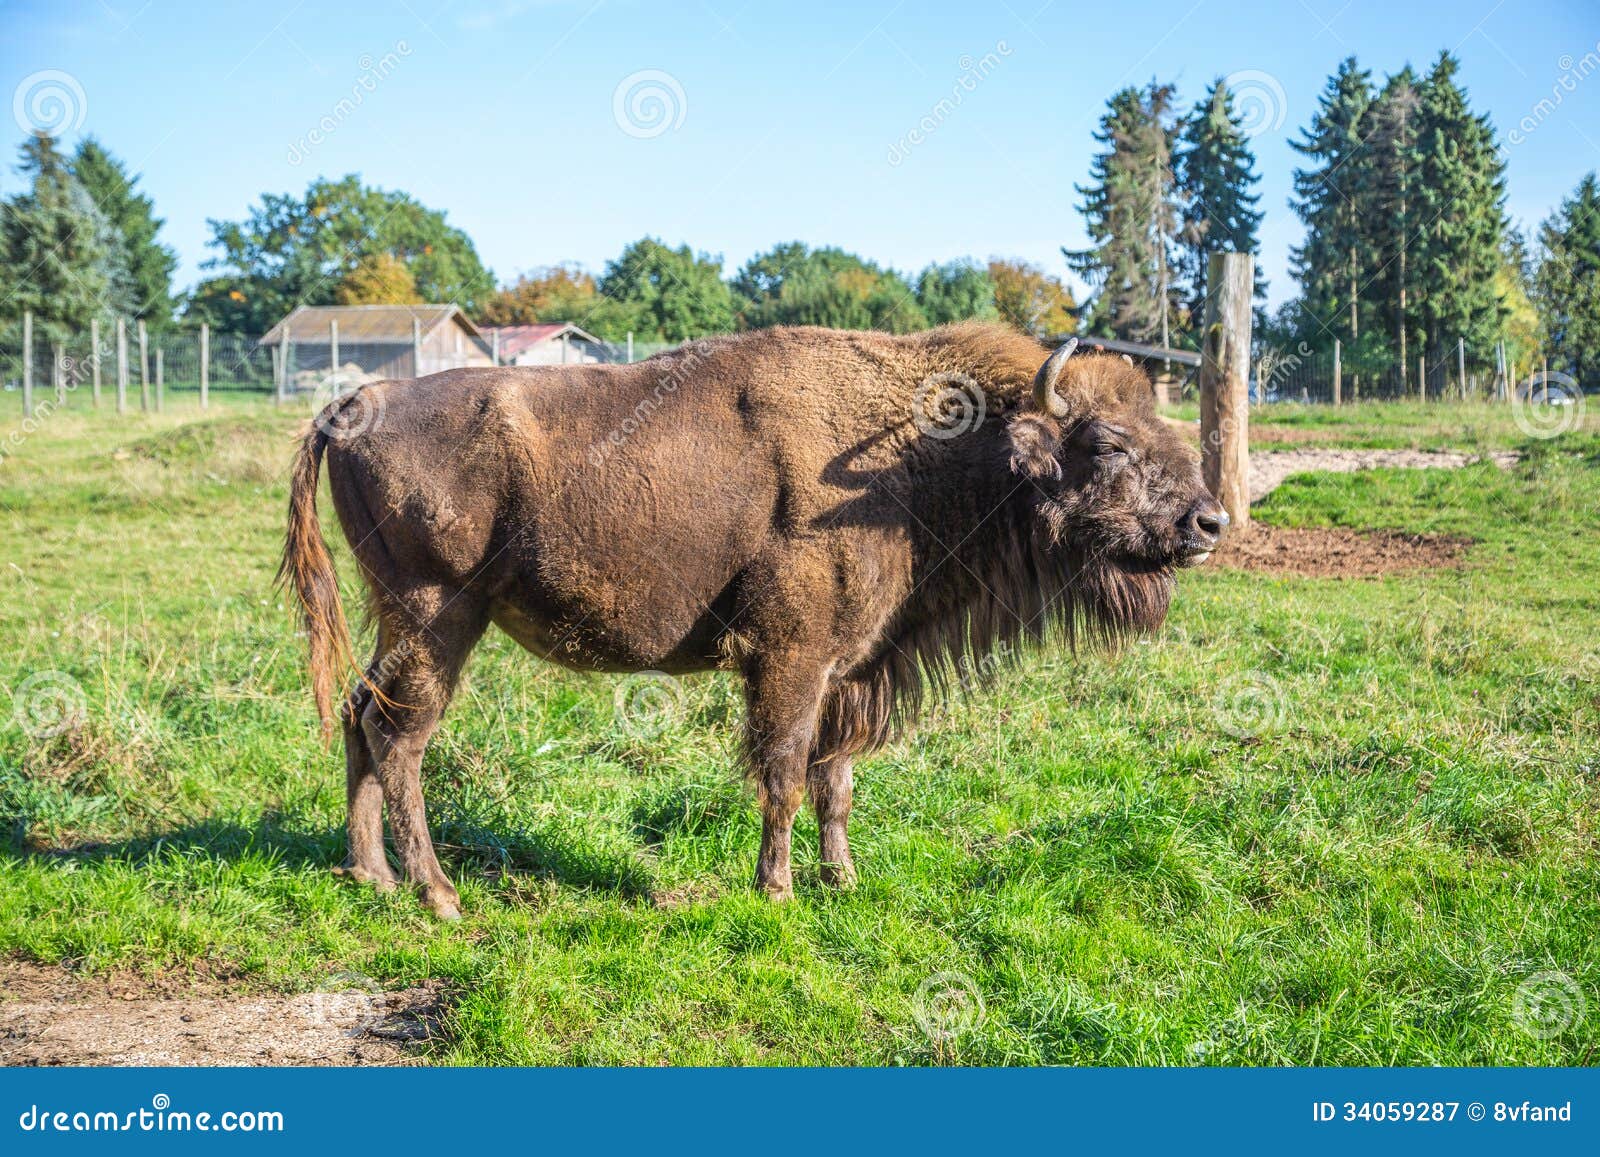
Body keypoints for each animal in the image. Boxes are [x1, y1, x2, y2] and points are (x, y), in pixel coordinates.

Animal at [281, 323, 1227, 919]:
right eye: (1105, 442)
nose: (1209, 522)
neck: (911, 455)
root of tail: (355, 403)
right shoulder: (790, 662)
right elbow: (784, 774)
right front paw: (777, 891)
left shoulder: (850, 669)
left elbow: (834, 781)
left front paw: (844, 879)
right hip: (438, 618)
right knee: (400, 738)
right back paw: (438, 895)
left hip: (399, 621)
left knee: (362, 719)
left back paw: (370, 877)